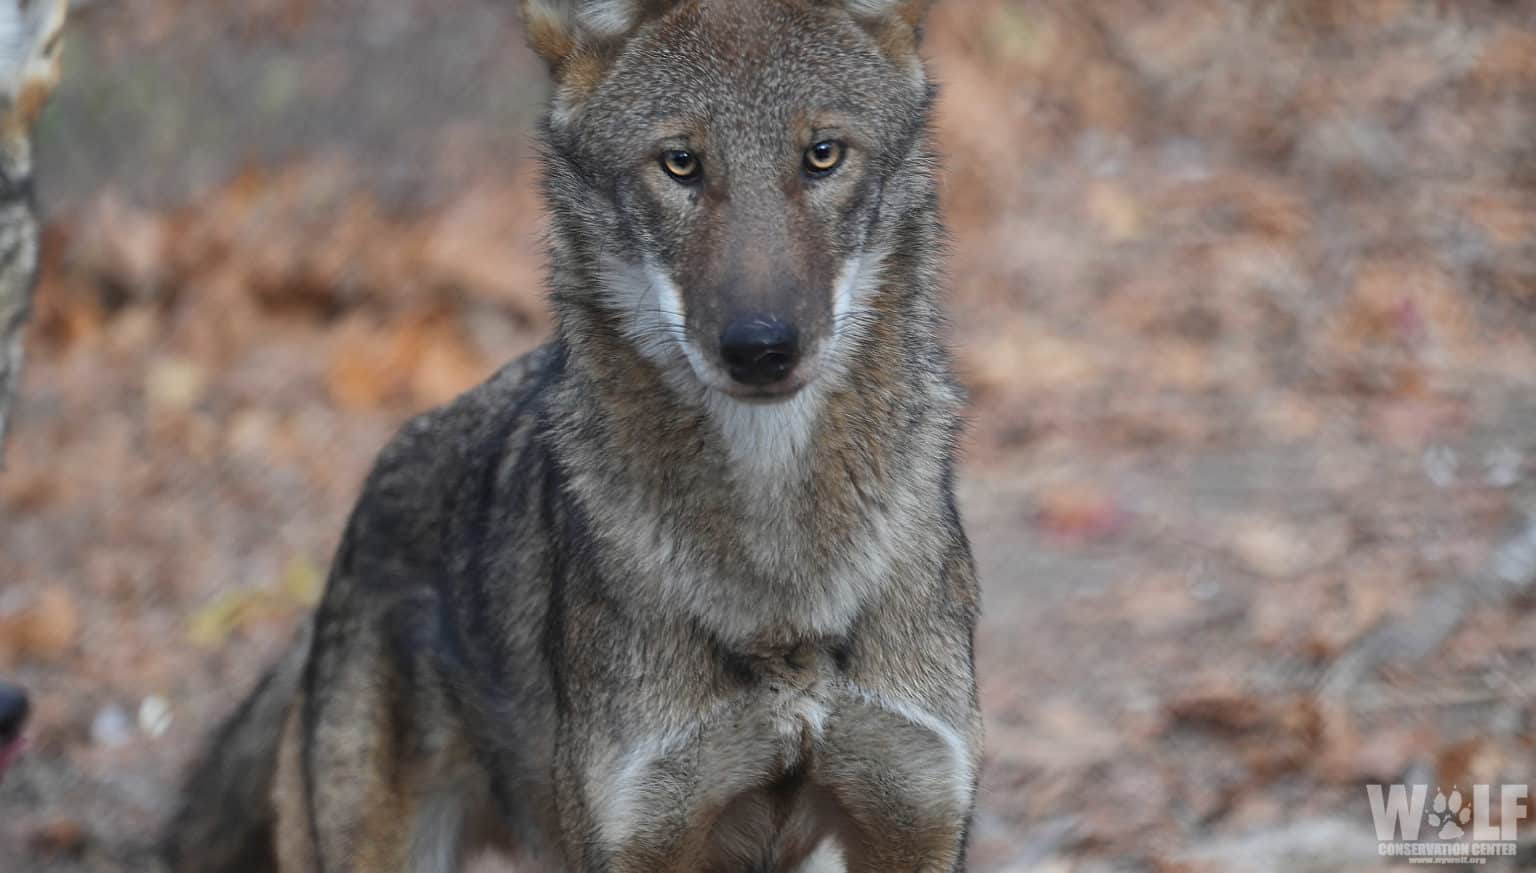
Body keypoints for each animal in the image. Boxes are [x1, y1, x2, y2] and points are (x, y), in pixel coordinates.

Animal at [164, 0, 981, 870]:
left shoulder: (918, 823)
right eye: (681, 164)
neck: (780, 597)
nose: (761, 347)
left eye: (822, 155)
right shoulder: (637, 839)